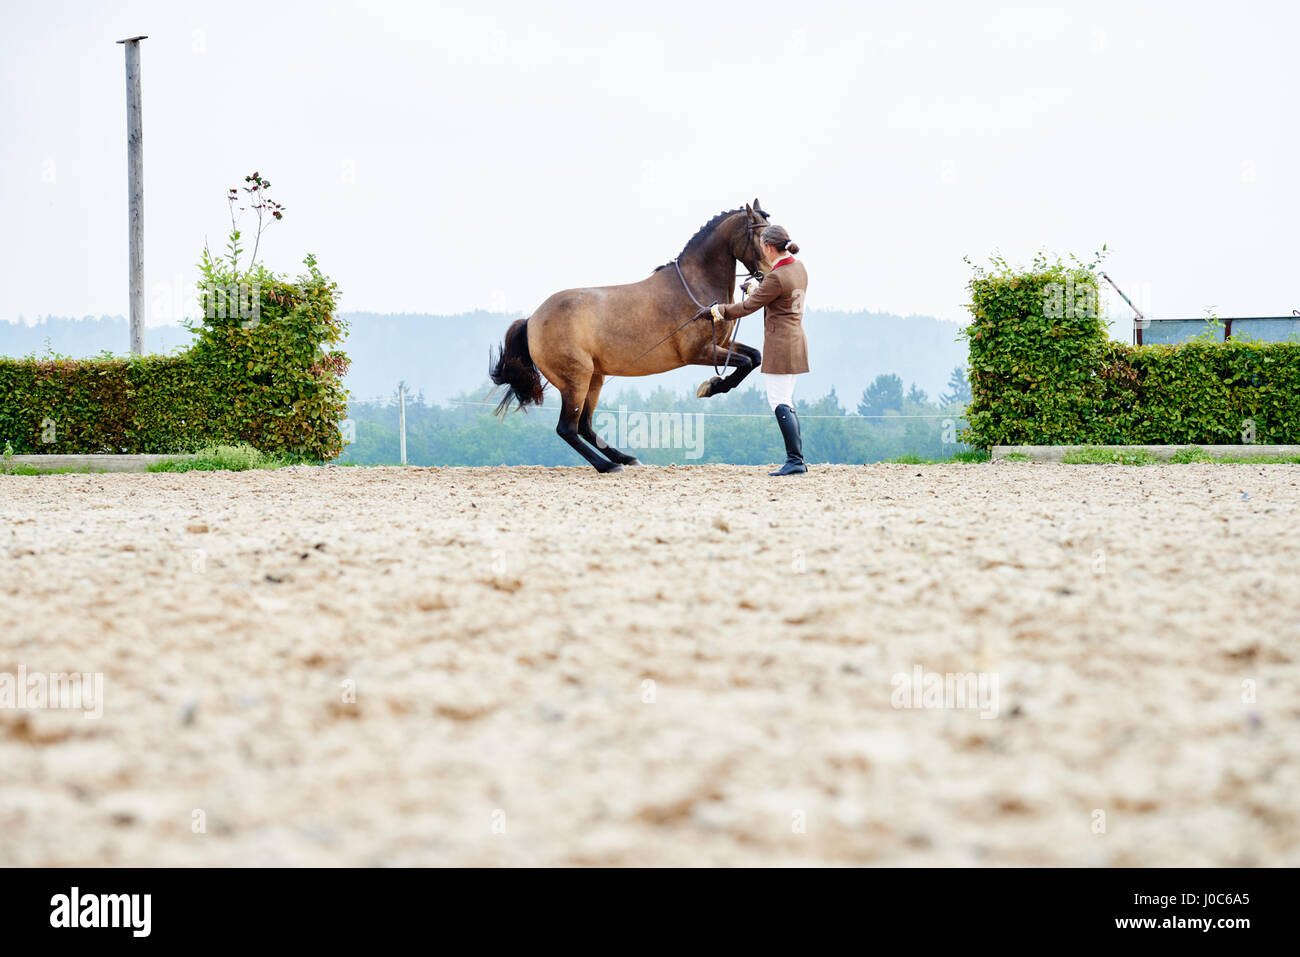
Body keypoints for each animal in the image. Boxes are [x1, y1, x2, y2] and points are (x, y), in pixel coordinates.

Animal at [489, 200, 772, 472]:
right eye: (760, 237)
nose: (769, 274)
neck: (695, 286)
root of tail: (532, 321)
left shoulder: (721, 346)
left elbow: (755, 357)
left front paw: (713, 385)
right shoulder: (698, 353)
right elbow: (746, 362)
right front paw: (712, 387)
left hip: (594, 378)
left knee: (584, 426)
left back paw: (625, 458)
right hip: (575, 380)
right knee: (567, 429)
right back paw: (609, 465)